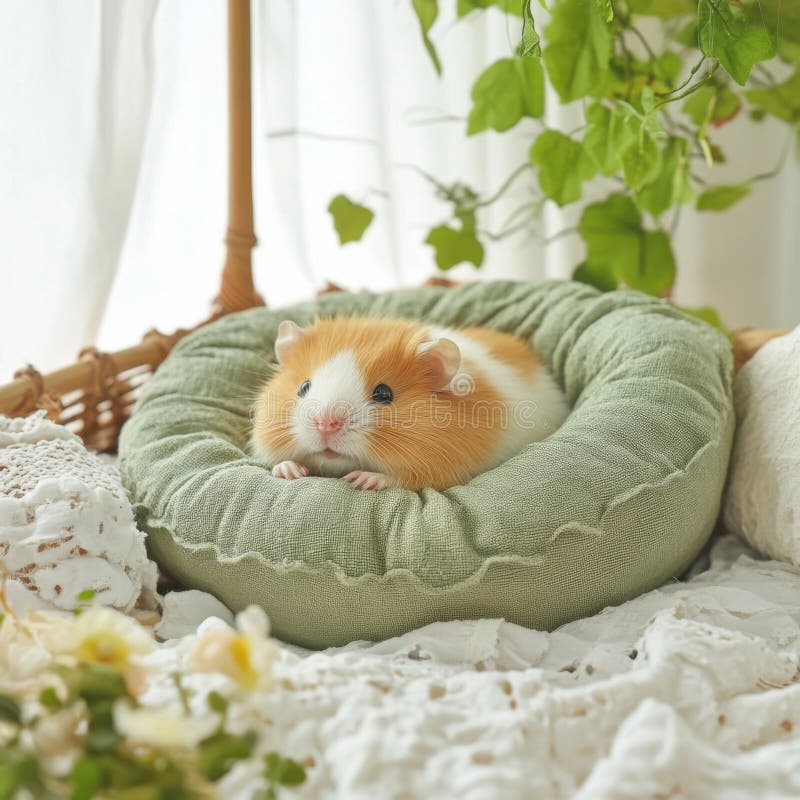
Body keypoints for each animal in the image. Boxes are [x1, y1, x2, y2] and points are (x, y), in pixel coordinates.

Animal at [251, 316, 569, 491]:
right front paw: (290, 471)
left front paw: (362, 480)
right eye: (303, 387)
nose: (326, 424)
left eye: (384, 394)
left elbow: (401, 477)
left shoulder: (443, 470)